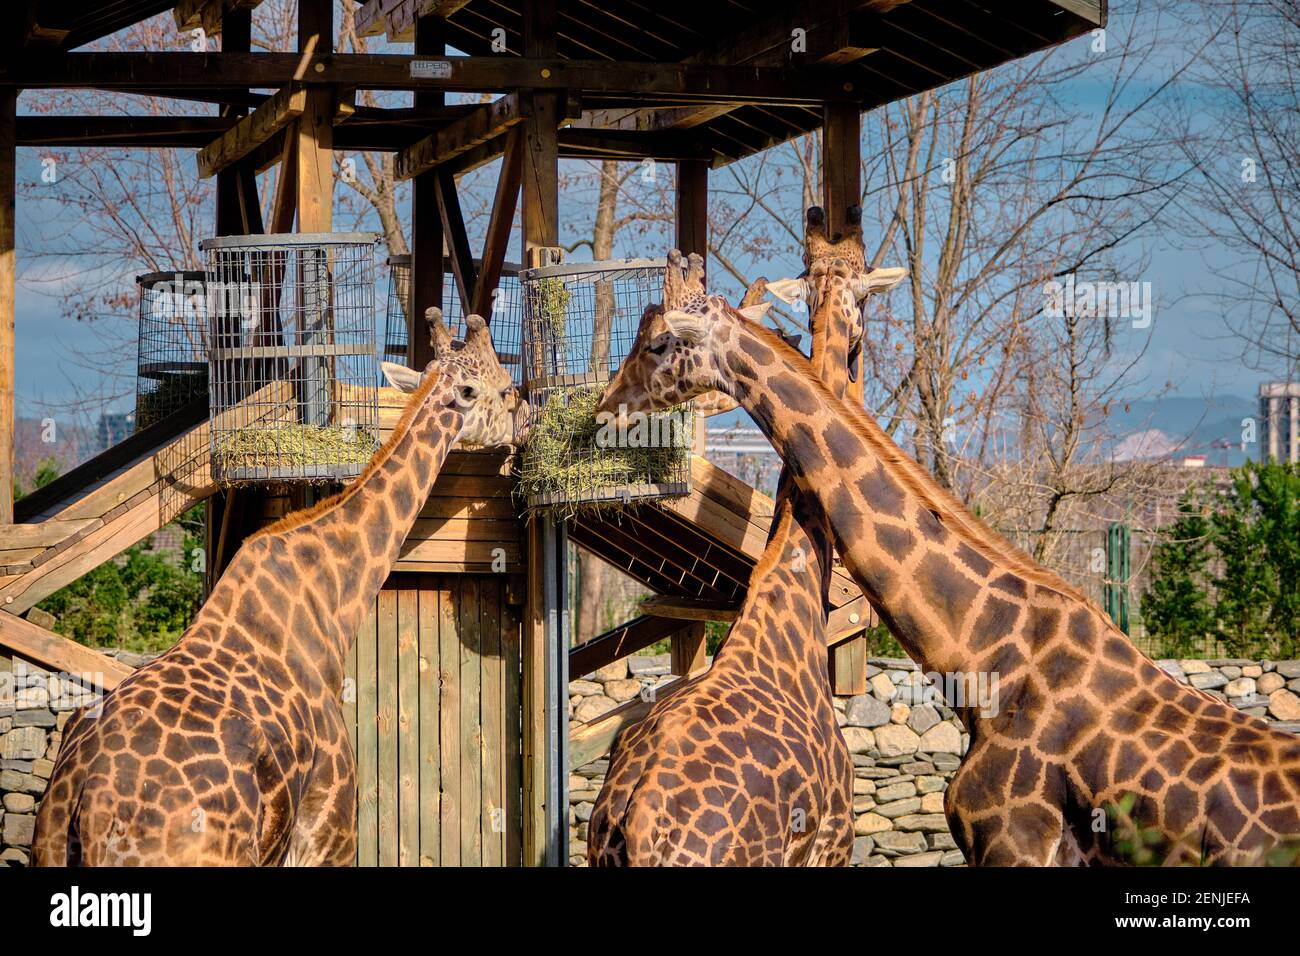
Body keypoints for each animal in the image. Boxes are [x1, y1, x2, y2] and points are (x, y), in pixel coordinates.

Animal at [33, 310, 527, 867]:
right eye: (505, 389)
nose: (529, 417)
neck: (331, 600)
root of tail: (85, 797)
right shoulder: (329, 834)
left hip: (46, 844)